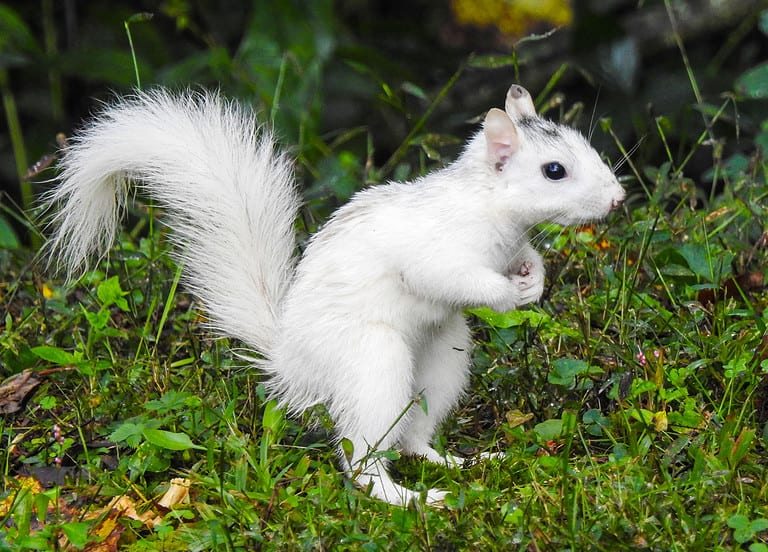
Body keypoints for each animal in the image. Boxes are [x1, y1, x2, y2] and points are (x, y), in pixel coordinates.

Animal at [43, 83, 625, 506]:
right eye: (554, 171)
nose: (618, 198)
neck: (489, 208)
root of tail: (292, 364)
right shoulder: (435, 252)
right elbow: (454, 279)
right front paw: (507, 293)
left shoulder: (510, 244)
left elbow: (528, 259)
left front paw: (534, 280)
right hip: (374, 365)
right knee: (364, 462)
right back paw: (410, 498)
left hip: (443, 363)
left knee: (412, 438)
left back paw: (458, 463)